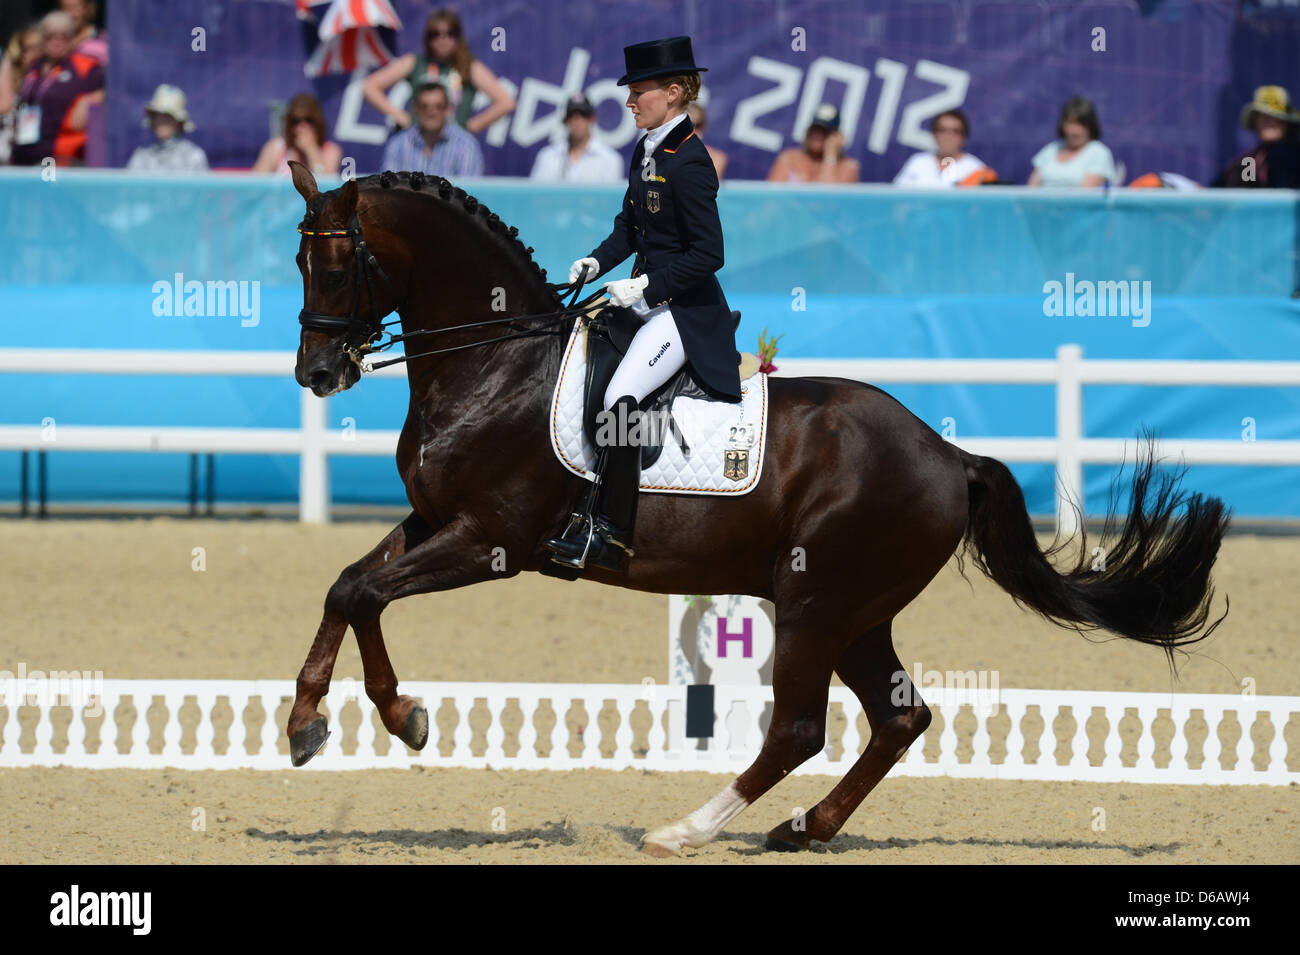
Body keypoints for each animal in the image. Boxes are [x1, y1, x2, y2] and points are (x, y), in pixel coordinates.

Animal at [283, 161, 1229, 855]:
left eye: (340, 262)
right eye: (299, 261)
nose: (317, 374)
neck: (496, 363)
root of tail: (947, 455)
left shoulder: (491, 541)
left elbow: (365, 592)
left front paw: (396, 718)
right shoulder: (434, 521)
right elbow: (345, 586)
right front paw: (313, 722)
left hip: (818, 601)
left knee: (801, 727)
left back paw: (684, 830)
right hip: (855, 611)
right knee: (900, 716)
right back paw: (803, 827)